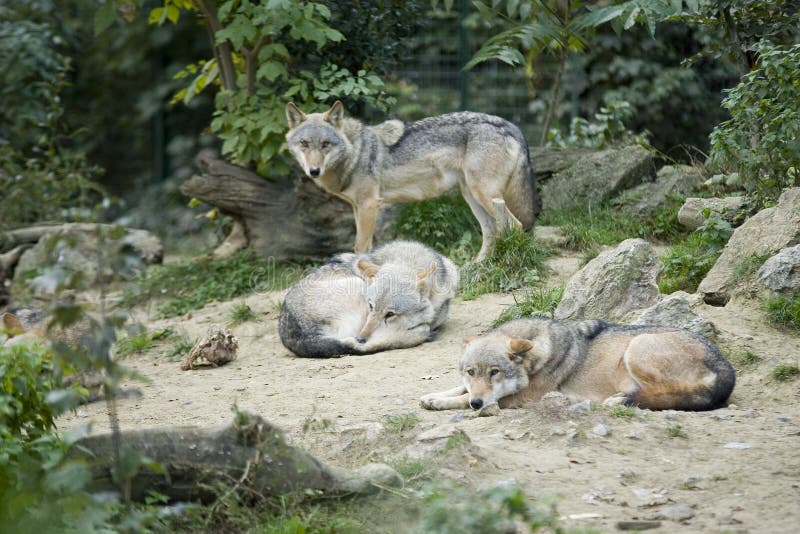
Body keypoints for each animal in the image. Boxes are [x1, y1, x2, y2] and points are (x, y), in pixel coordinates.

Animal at [285, 101, 539, 261]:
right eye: (304, 144)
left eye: (325, 144)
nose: (314, 171)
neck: (355, 150)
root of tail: (511, 125)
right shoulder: (360, 208)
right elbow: (368, 248)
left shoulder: (368, 205)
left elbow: (360, 246)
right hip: (472, 197)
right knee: (491, 230)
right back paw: (479, 267)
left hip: (484, 195)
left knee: (514, 226)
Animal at [420, 318, 736, 412]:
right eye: (471, 372)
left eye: (495, 373)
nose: (477, 402)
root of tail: (726, 366)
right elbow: (458, 388)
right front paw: (432, 396)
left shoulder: (523, 397)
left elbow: (465, 399)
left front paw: (443, 403)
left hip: (636, 348)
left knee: (660, 394)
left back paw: (618, 400)